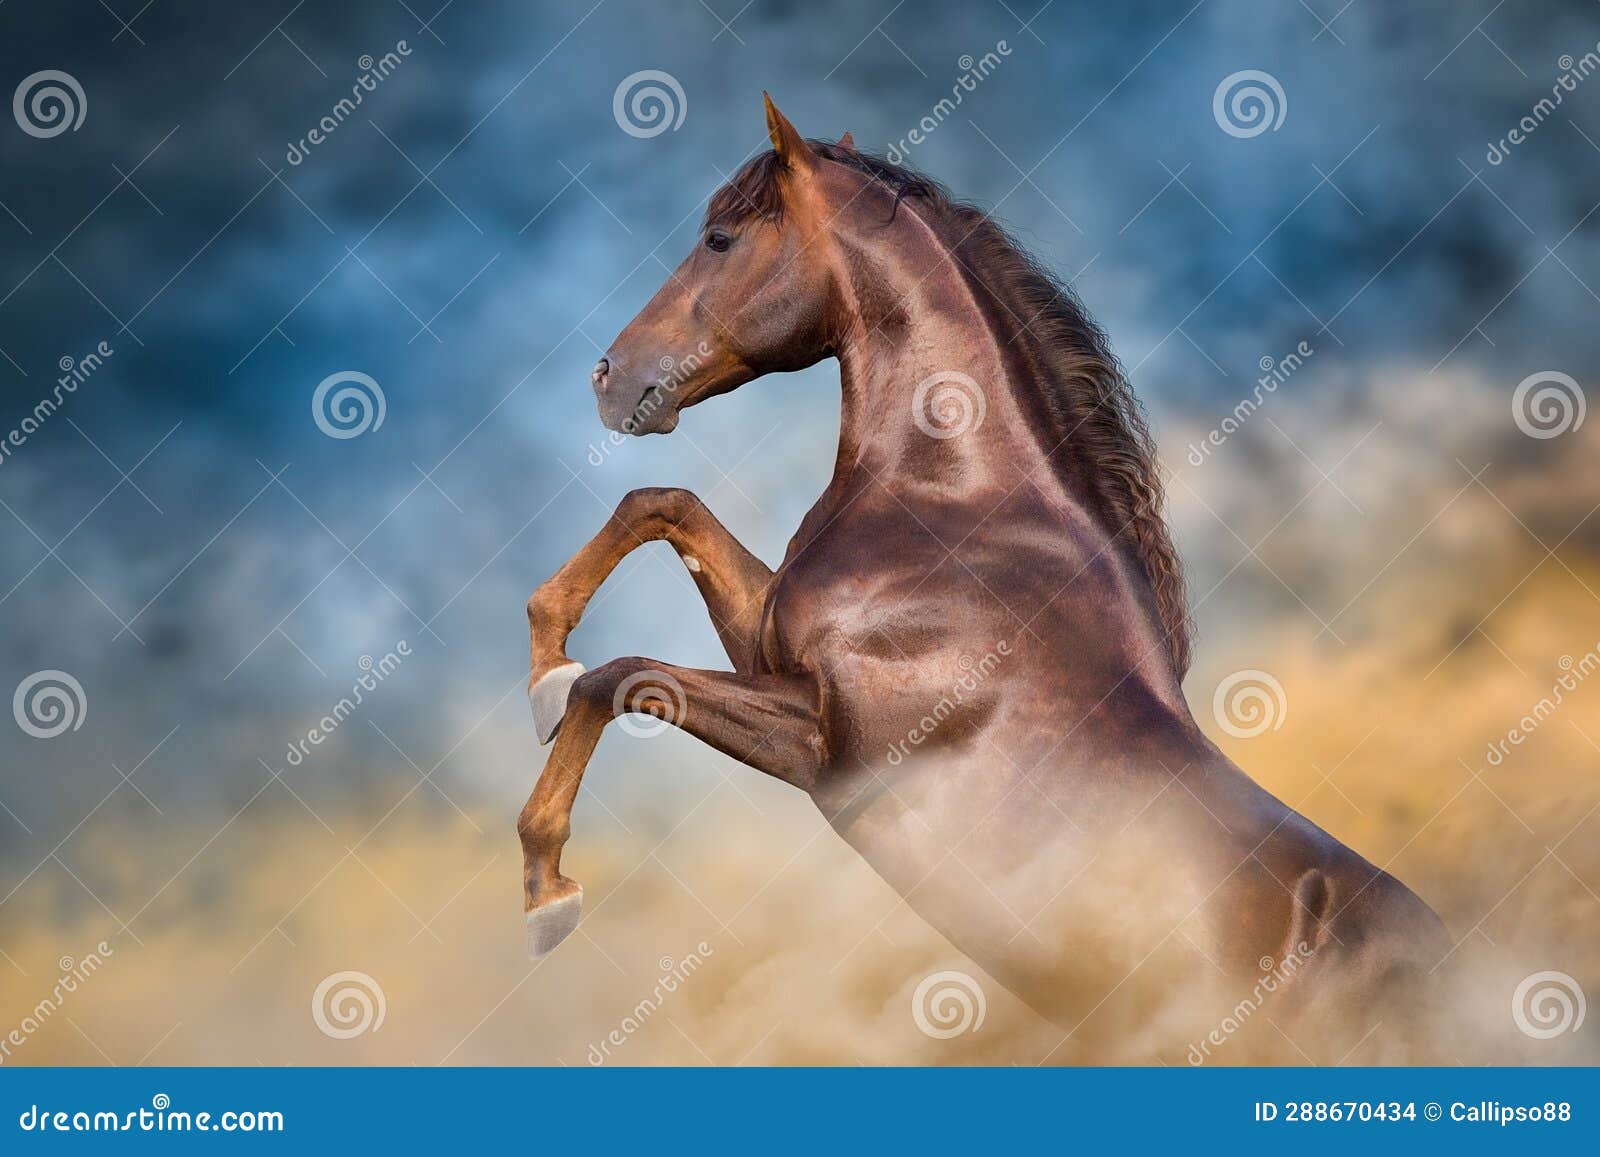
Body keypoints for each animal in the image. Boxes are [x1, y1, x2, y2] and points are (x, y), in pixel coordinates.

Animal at [516, 95, 1450, 1060]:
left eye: (720, 238)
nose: (608, 377)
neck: (959, 503)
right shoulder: (768, 648)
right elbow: (660, 504)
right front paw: (546, 653)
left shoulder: (818, 740)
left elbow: (618, 677)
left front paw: (548, 888)